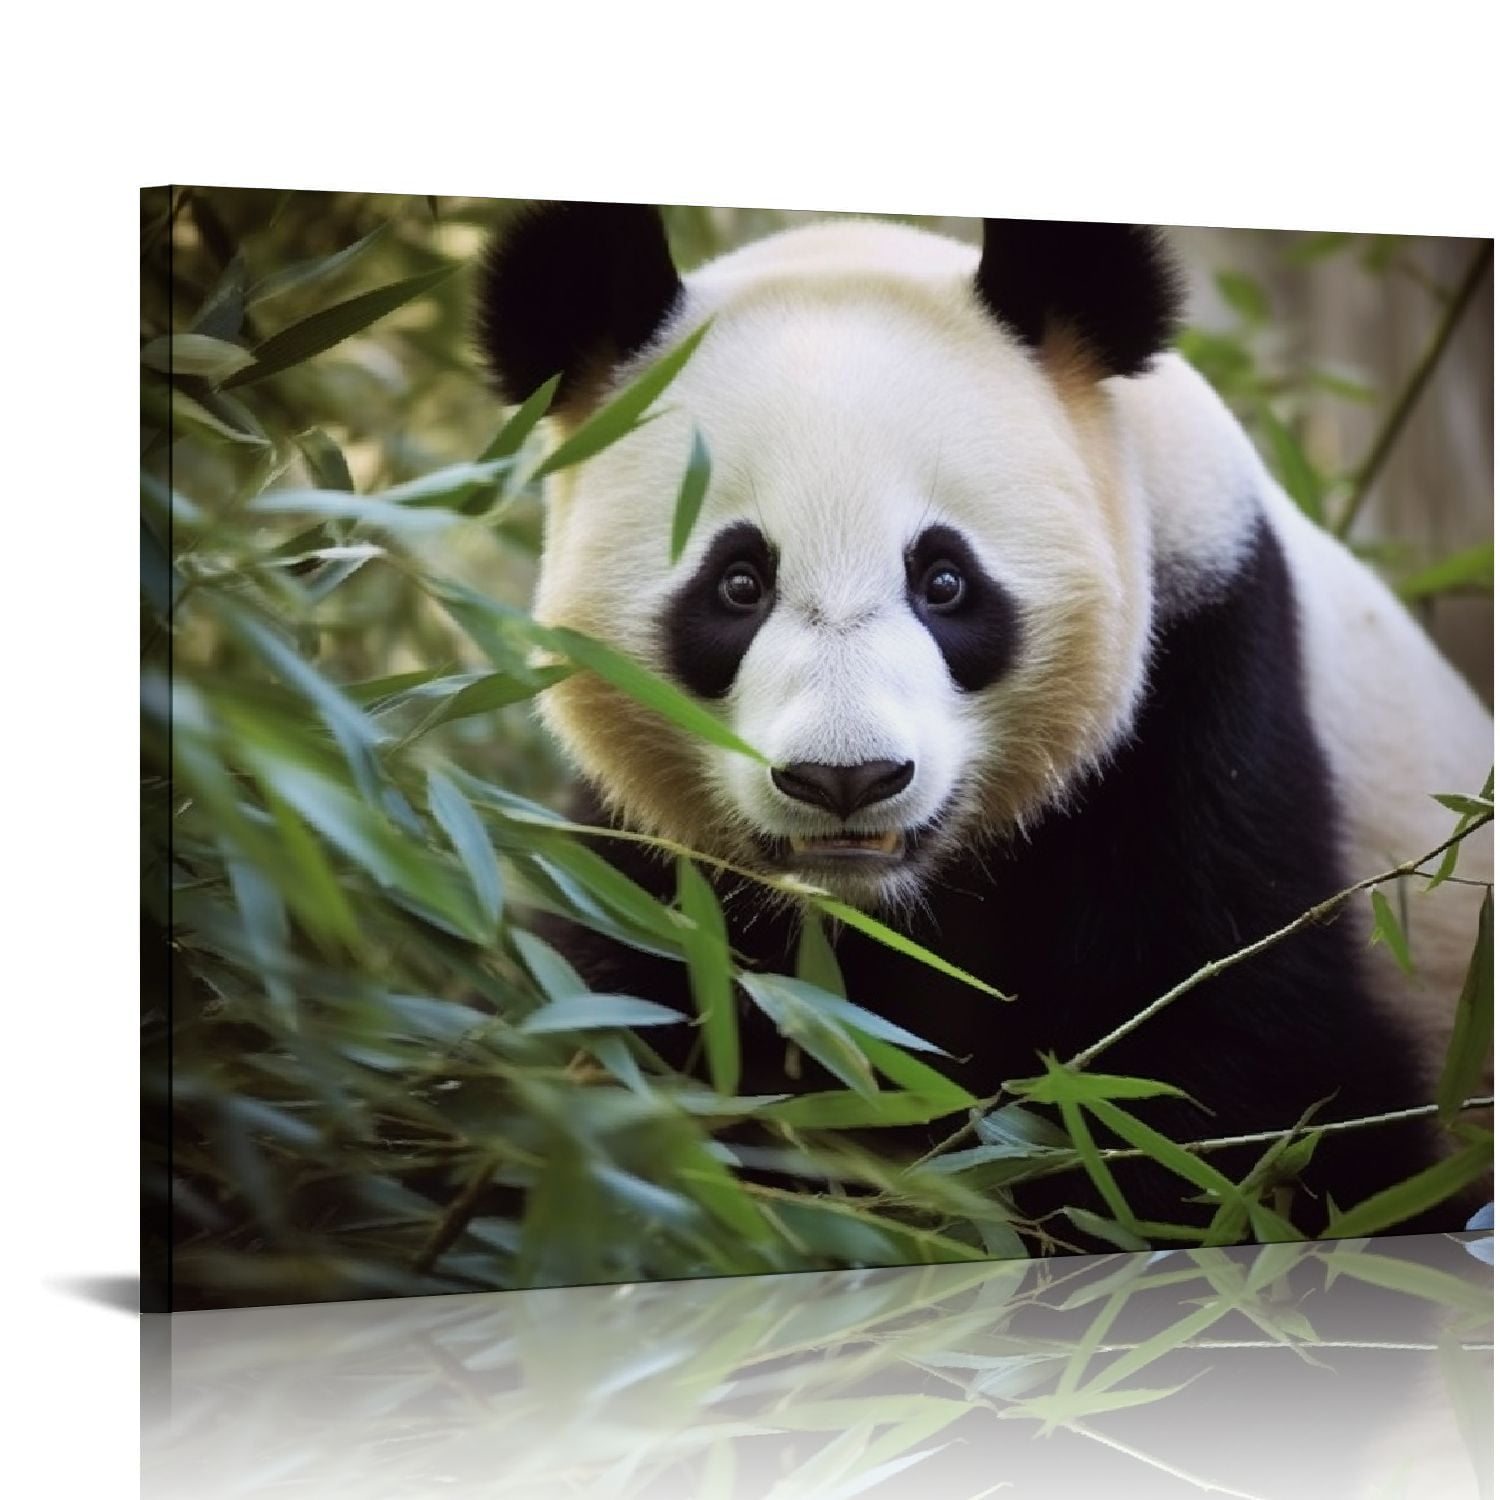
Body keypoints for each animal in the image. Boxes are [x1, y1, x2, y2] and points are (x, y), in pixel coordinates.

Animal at [475, 202, 1493, 1248]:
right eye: (738, 584)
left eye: (944, 580)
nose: (847, 779)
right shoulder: (653, 871)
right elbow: (636, 1020)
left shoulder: (1203, 710)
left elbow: (1235, 1095)